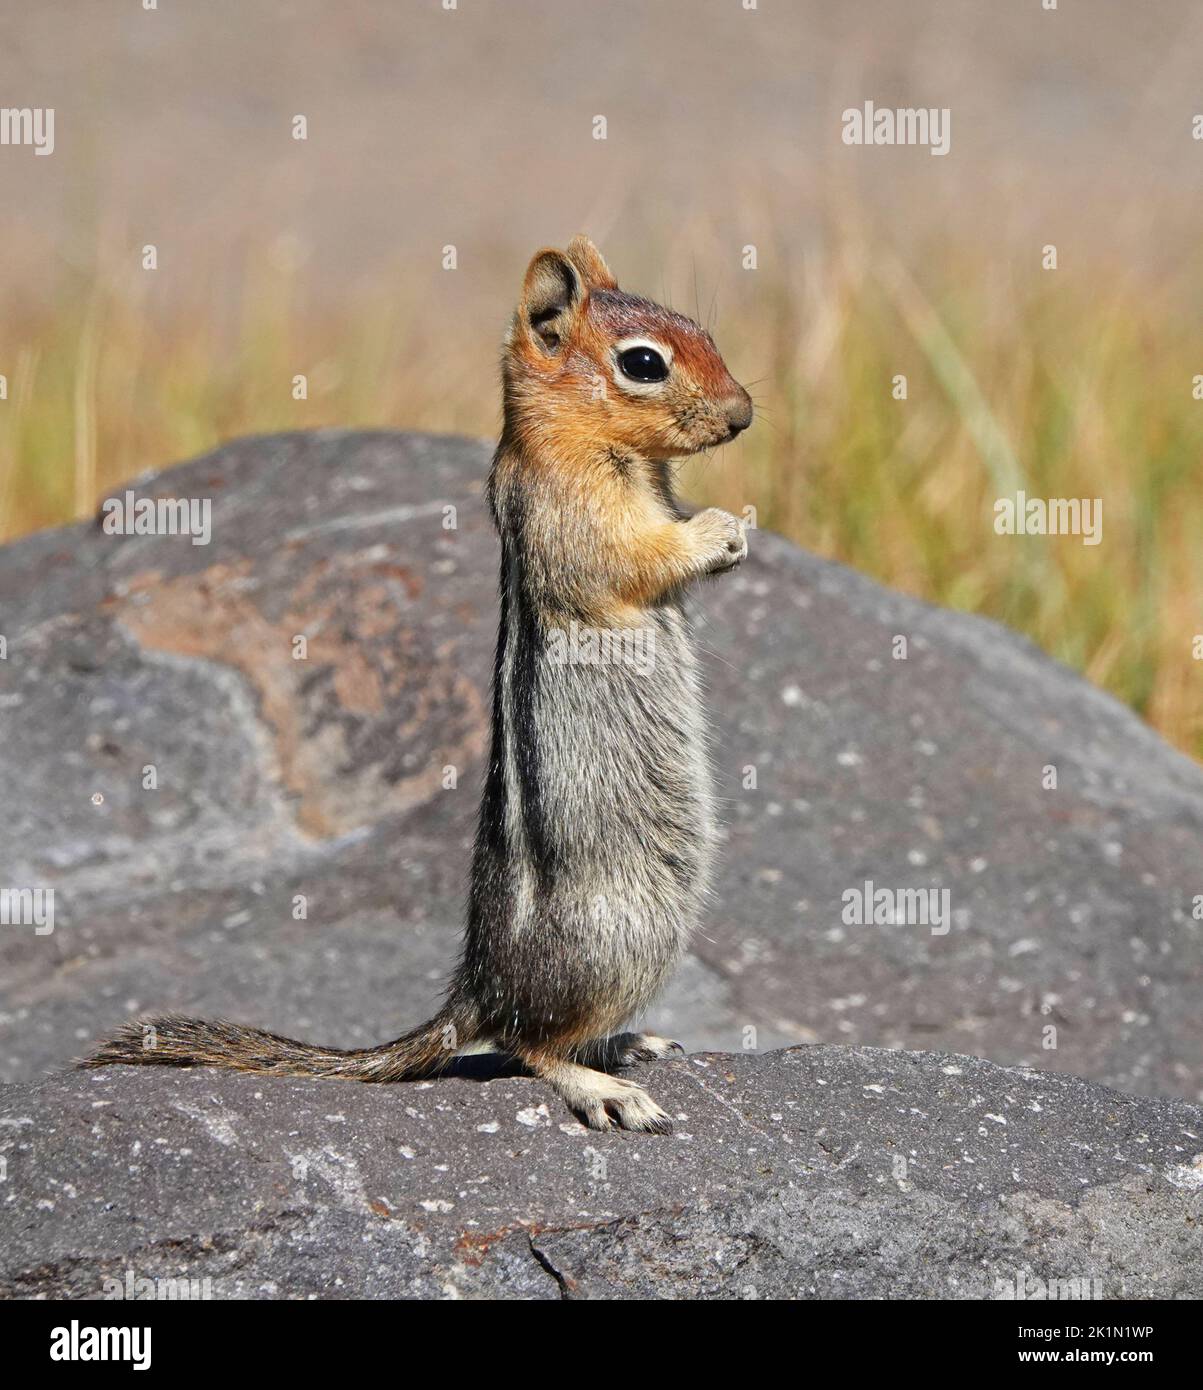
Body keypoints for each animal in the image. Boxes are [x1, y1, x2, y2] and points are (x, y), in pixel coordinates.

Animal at [84, 236, 753, 1133]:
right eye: (643, 363)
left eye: (703, 331)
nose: (743, 414)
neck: (590, 446)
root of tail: (473, 988)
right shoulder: (575, 518)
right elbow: (634, 558)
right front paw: (719, 529)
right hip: (620, 937)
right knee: (527, 1042)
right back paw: (603, 1085)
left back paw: (629, 1043)